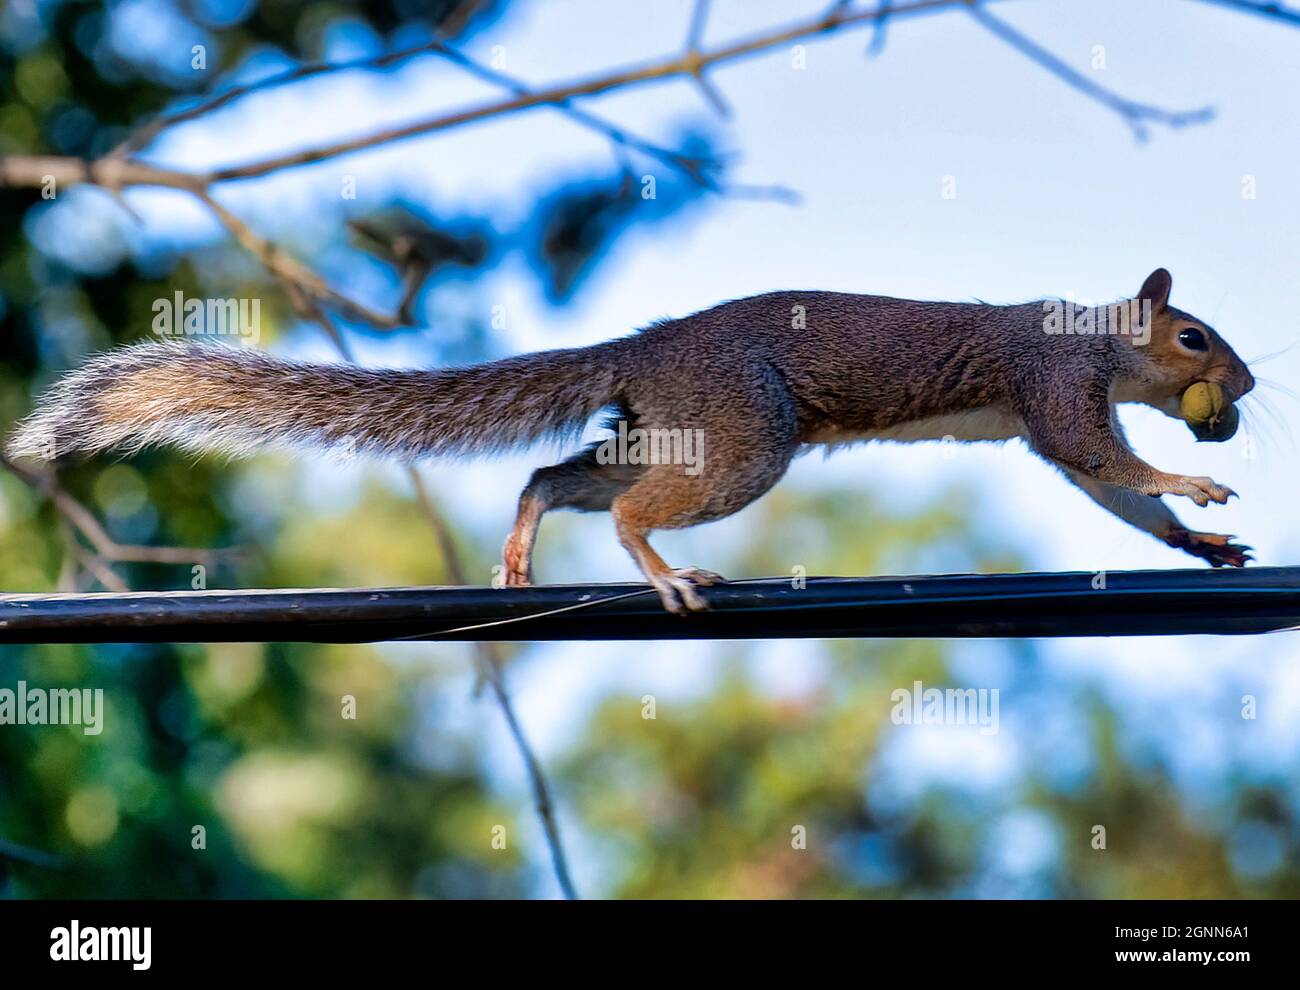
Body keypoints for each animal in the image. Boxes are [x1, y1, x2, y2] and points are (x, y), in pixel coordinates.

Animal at [6, 267, 1255, 613]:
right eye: (1192, 337)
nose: (1242, 387)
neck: (1092, 334)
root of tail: (641, 349)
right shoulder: (1058, 388)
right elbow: (1108, 464)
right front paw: (1194, 483)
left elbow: (1110, 497)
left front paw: (1199, 547)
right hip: (741, 441)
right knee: (629, 510)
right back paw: (664, 573)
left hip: (673, 433)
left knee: (554, 475)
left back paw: (519, 552)